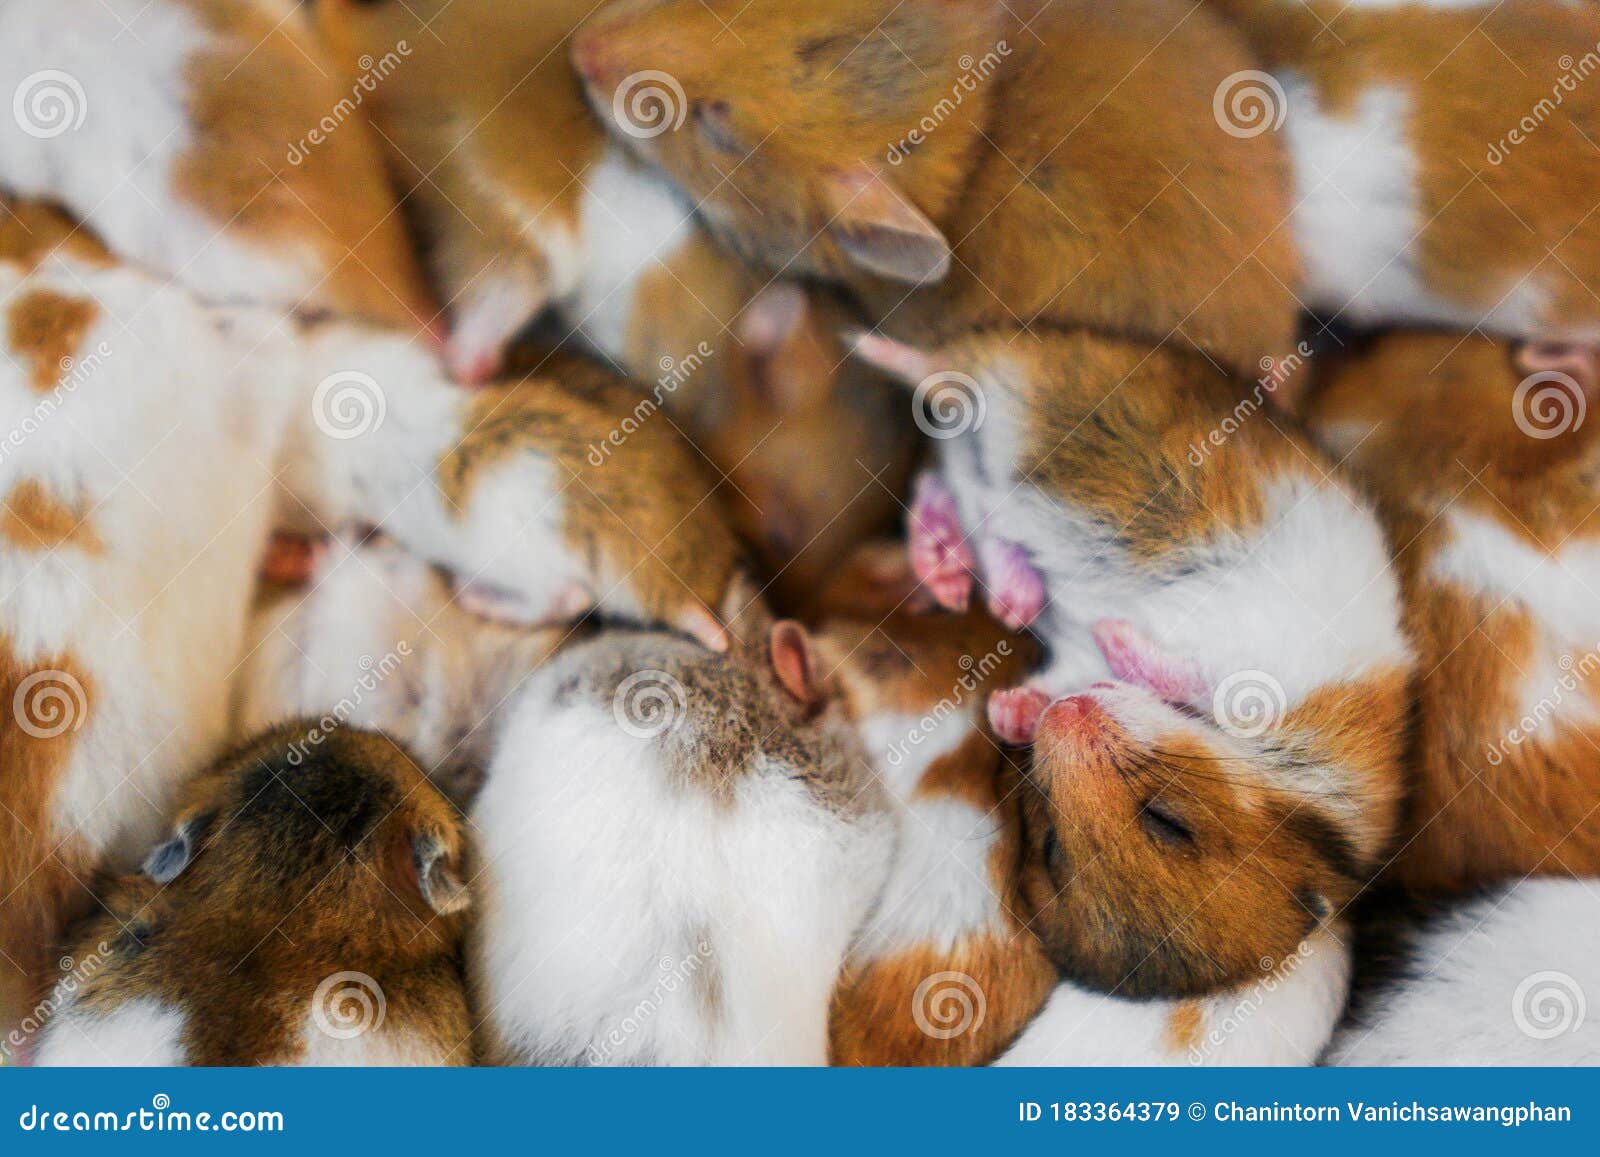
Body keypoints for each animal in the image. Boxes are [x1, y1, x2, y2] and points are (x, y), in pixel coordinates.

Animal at [851, 327, 1412, 997]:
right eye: (1168, 822)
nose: (1062, 714)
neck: (1289, 785)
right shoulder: (1260, 680)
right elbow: (1191, 677)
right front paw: (1111, 637)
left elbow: (1101, 676)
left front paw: (1013, 709)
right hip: (1013, 383)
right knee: (945, 398)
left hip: (986, 459)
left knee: (956, 493)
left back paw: (991, 589)